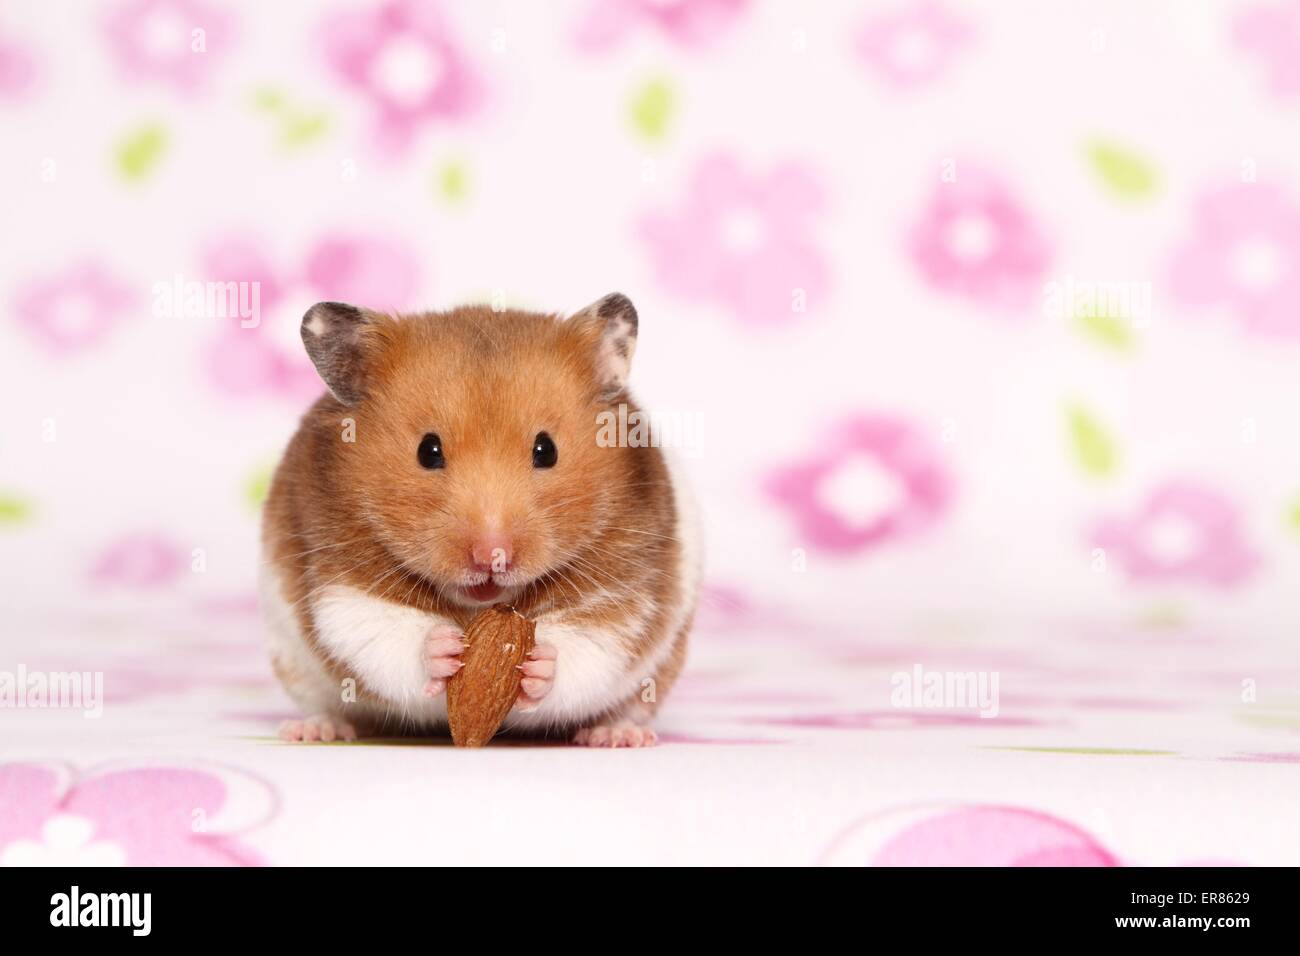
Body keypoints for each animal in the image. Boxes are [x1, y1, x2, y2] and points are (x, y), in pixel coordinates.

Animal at [259, 293, 700, 747]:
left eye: (546, 450)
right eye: (428, 450)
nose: (492, 556)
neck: (480, 607)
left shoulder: (625, 584)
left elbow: (592, 640)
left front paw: (539, 663)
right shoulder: (338, 577)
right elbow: (378, 630)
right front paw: (444, 649)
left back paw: (616, 735)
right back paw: (311, 730)